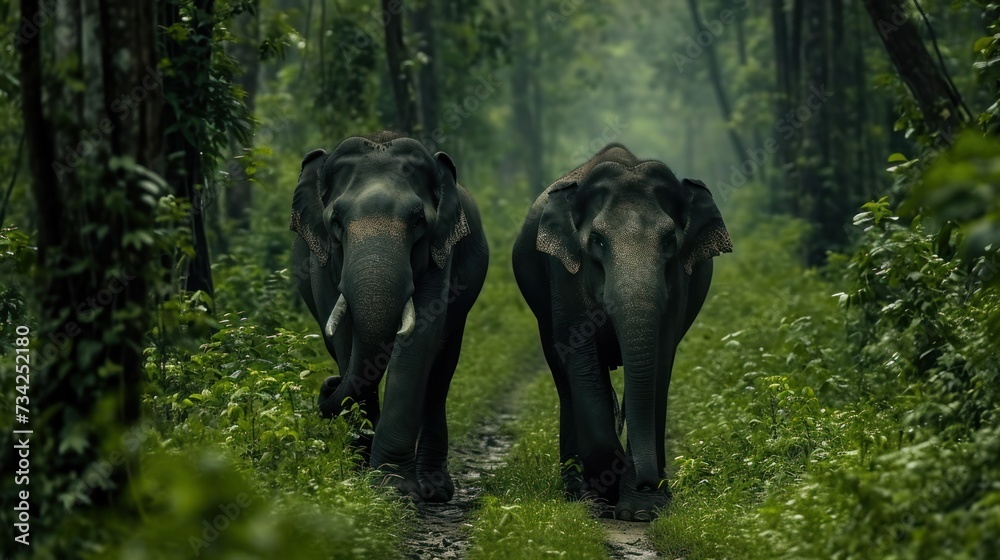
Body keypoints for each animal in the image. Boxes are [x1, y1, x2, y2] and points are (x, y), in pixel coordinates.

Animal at [289, 131, 489, 502]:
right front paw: (360, 477)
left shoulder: (441, 252)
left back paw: (435, 489)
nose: (328, 383)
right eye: (335, 221)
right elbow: (345, 341)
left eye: (418, 221)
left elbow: (419, 339)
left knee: (440, 370)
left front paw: (392, 487)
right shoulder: (319, 259)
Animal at [511, 143, 732, 521]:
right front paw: (602, 495)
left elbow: (659, 362)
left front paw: (643, 510)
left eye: (669, 240)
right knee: (563, 378)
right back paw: (576, 491)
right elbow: (581, 359)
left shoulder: (678, 284)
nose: (648, 480)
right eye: (598, 241)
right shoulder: (564, 272)